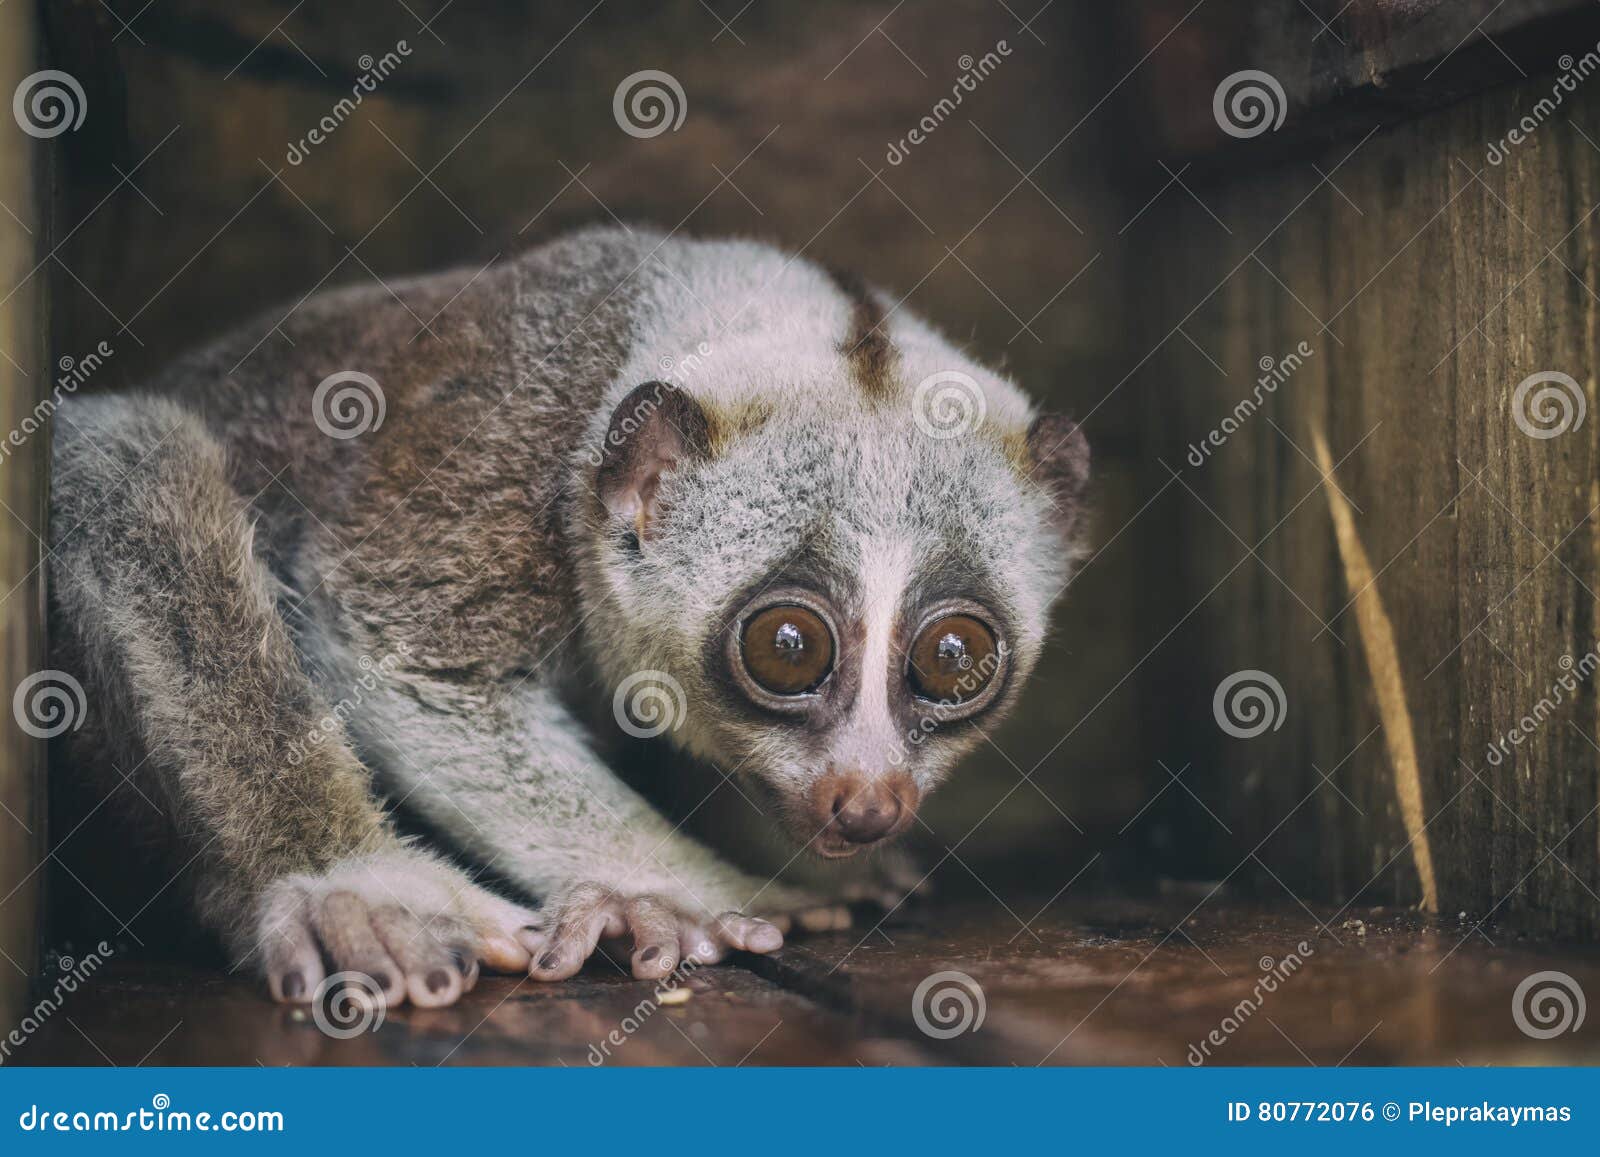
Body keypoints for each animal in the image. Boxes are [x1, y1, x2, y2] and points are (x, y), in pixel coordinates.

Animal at [46, 225, 1089, 1009]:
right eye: (788, 648)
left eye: (954, 657)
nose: (869, 800)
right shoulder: (493, 447)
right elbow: (412, 668)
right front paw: (676, 891)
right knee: (122, 459)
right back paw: (356, 891)